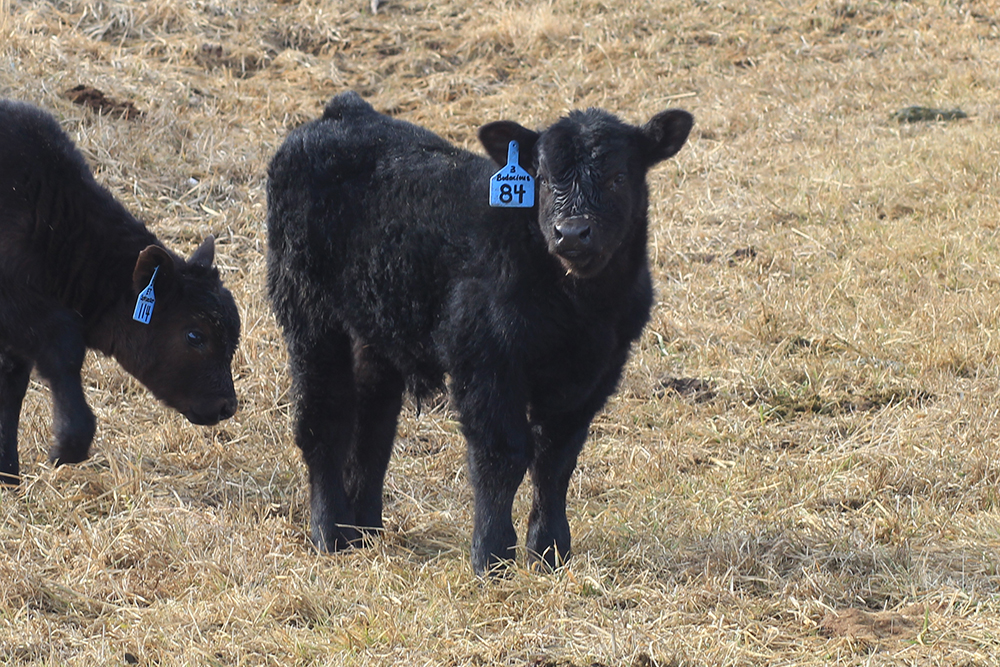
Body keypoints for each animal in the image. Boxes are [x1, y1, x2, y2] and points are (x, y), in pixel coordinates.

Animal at [0, 100, 241, 485]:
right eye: (194, 335)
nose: (227, 406)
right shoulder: (18, 305)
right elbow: (63, 344)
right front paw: (69, 443)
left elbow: (12, 384)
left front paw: (7, 473)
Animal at [266, 91, 692, 575]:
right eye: (543, 179)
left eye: (620, 176)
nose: (571, 233)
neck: (578, 309)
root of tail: (343, 111)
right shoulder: (485, 359)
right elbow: (501, 455)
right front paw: (492, 555)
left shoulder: (596, 371)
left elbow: (556, 459)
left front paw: (550, 551)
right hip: (308, 312)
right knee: (324, 417)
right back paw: (330, 533)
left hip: (376, 326)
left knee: (373, 420)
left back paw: (365, 528)